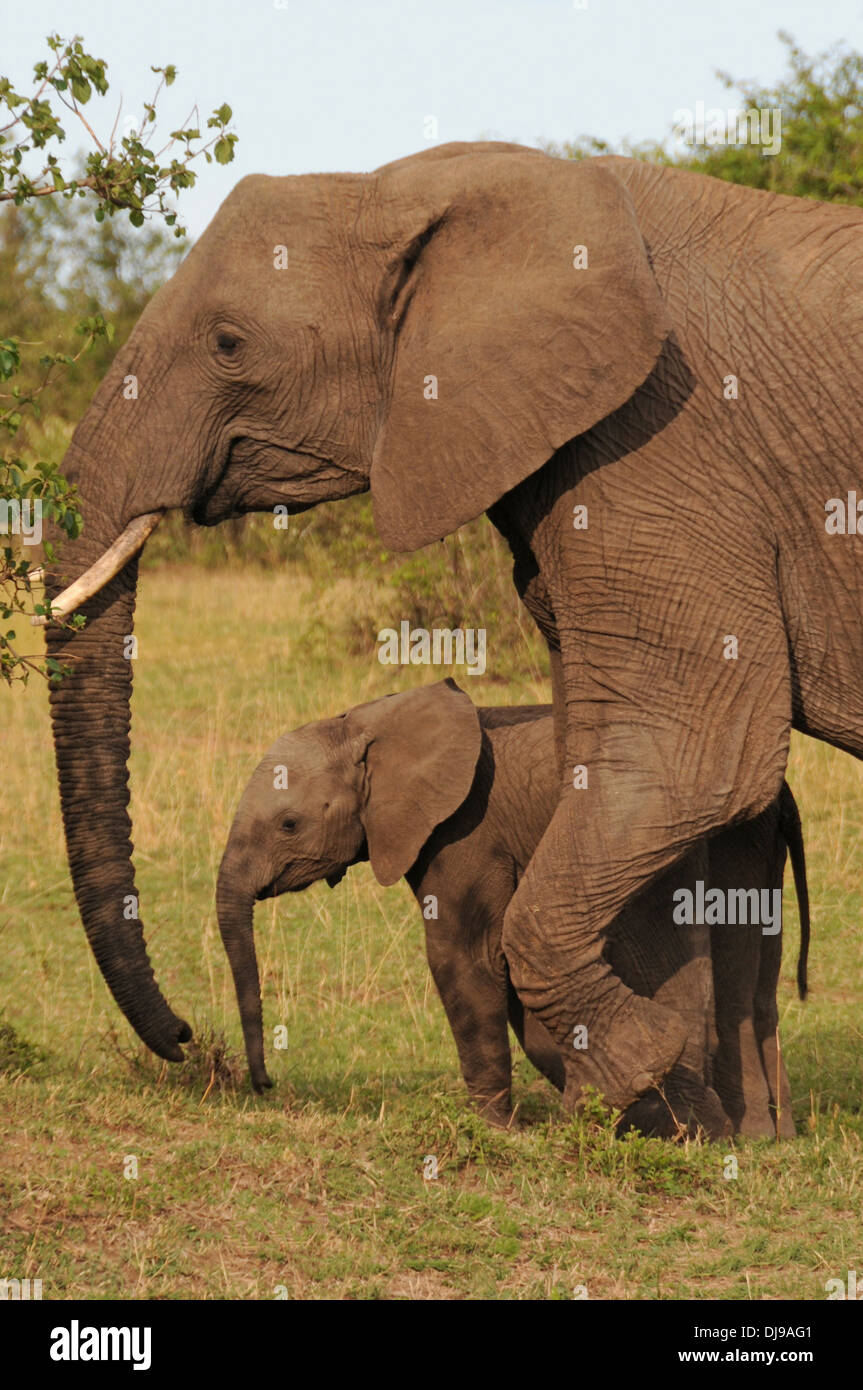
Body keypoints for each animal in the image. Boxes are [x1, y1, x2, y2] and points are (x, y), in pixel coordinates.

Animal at [216, 679, 809, 1138]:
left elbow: (464, 955)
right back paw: (765, 1136)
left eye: (289, 824)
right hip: (753, 845)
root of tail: (783, 793)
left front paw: (496, 1131)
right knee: (751, 986)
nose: (265, 1084)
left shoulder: (467, 831)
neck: (368, 723)